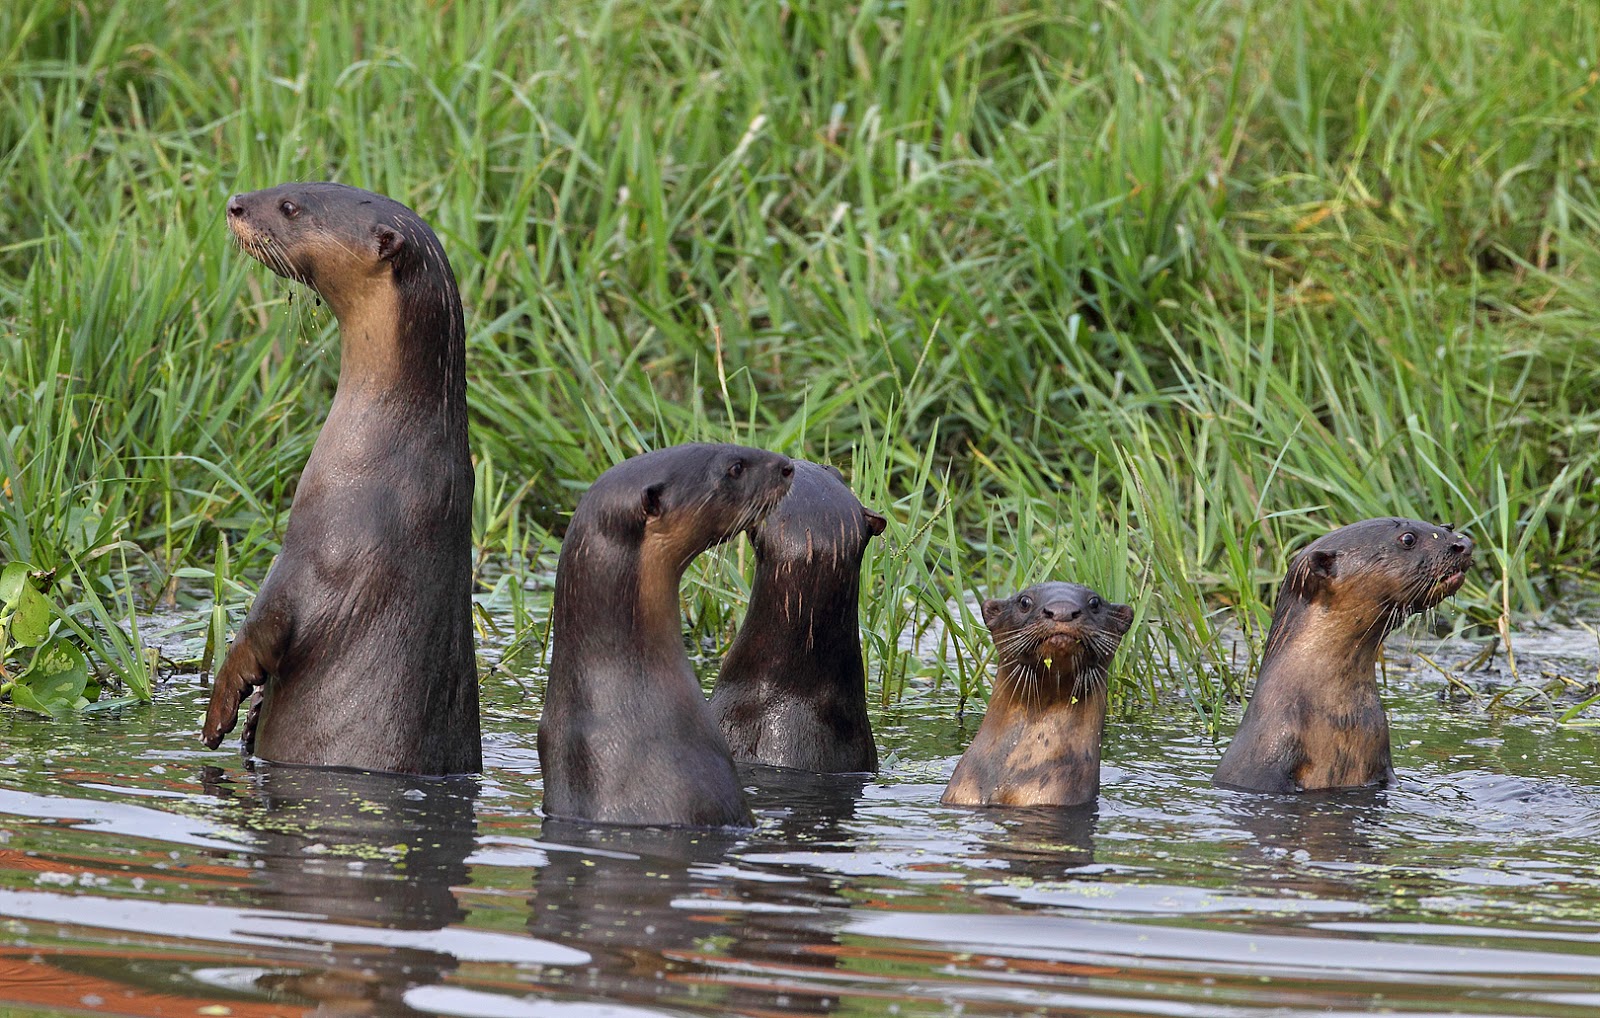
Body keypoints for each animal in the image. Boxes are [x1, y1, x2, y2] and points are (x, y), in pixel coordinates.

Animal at [201, 182, 480, 776]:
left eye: (290, 207)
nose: (235, 203)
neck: (383, 452)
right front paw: (251, 718)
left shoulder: (317, 559)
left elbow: (259, 632)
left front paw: (219, 715)